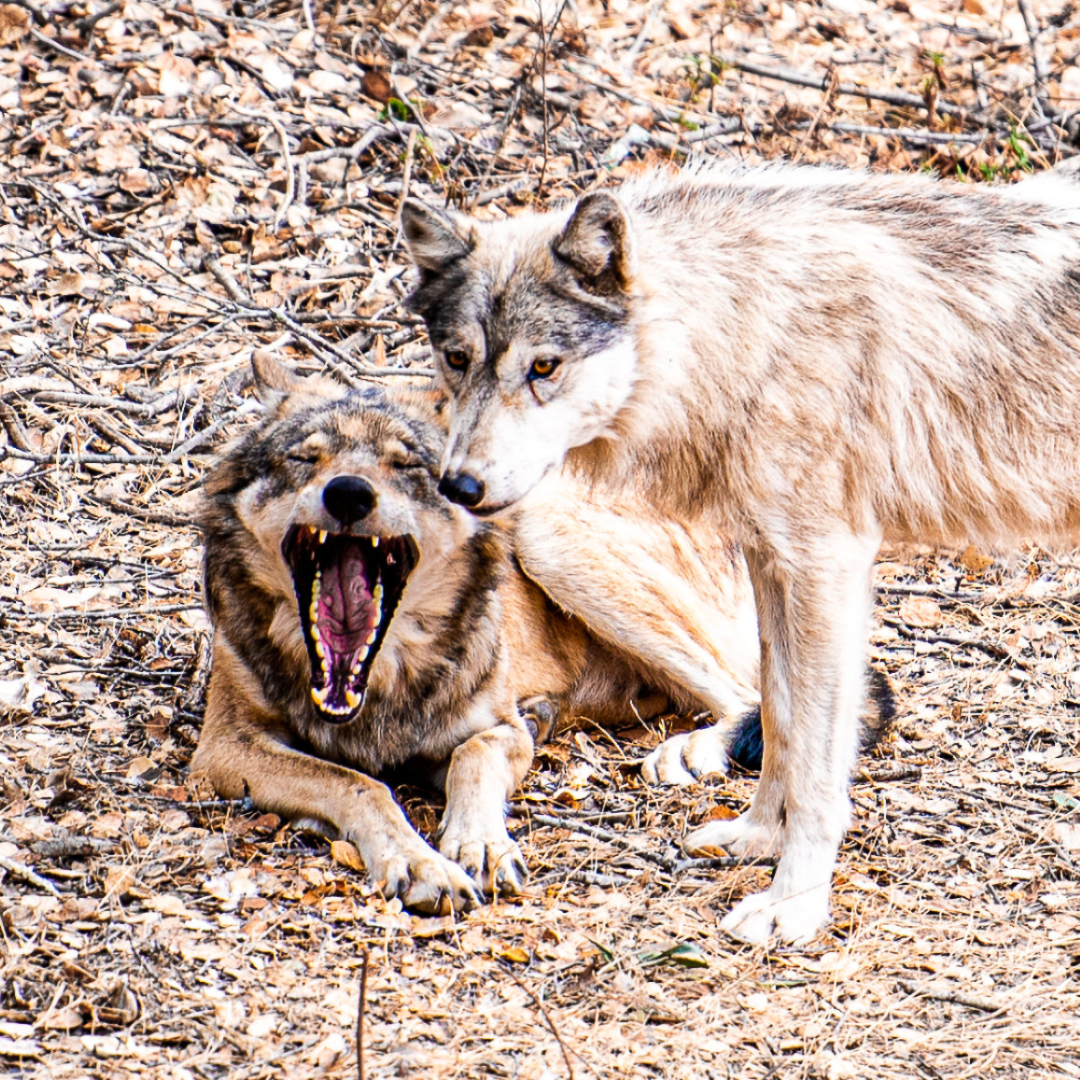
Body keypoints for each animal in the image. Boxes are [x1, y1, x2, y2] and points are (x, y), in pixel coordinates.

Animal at [192, 354, 774, 914]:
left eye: (406, 464)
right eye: (306, 459)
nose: (349, 493)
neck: (379, 686)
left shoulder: (497, 731)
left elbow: (470, 760)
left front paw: (482, 845)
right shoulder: (224, 748)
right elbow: (358, 783)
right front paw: (422, 864)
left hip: (544, 535)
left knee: (745, 695)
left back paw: (690, 751)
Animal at [401, 160, 1080, 943]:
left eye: (544, 367)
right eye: (457, 360)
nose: (459, 485)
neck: (748, 330)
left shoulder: (826, 565)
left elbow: (817, 759)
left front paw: (794, 904)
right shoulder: (772, 562)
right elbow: (783, 717)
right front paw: (758, 838)